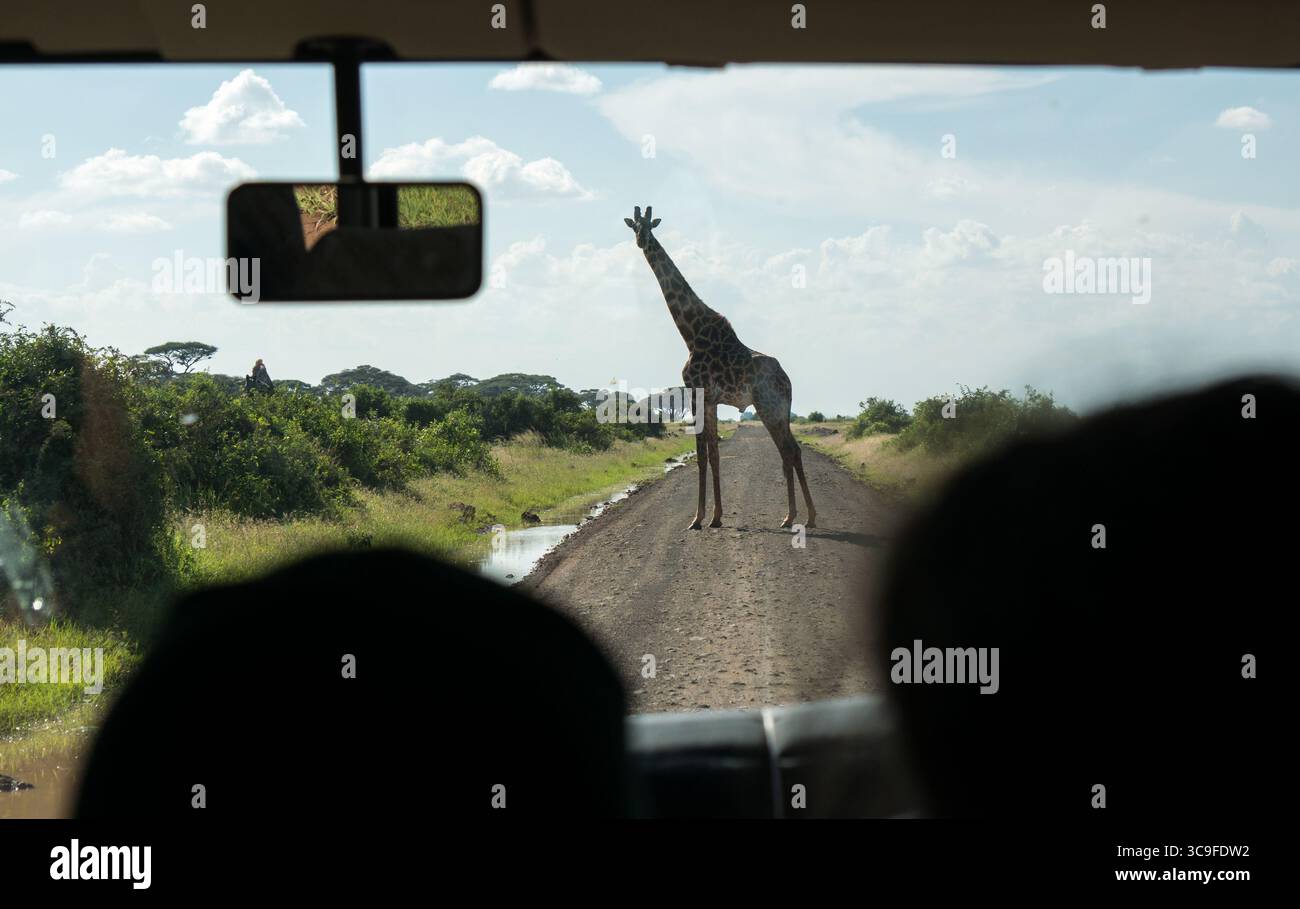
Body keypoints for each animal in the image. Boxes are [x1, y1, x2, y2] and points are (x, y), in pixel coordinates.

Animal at [625, 205, 816, 531]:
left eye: (650, 225)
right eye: (635, 226)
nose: (642, 240)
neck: (691, 333)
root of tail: (788, 381)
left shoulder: (696, 392)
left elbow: (703, 454)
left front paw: (697, 518)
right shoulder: (711, 399)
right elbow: (713, 454)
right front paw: (715, 517)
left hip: (768, 406)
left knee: (788, 450)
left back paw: (798, 516)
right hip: (781, 409)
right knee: (791, 450)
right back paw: (800, 516)